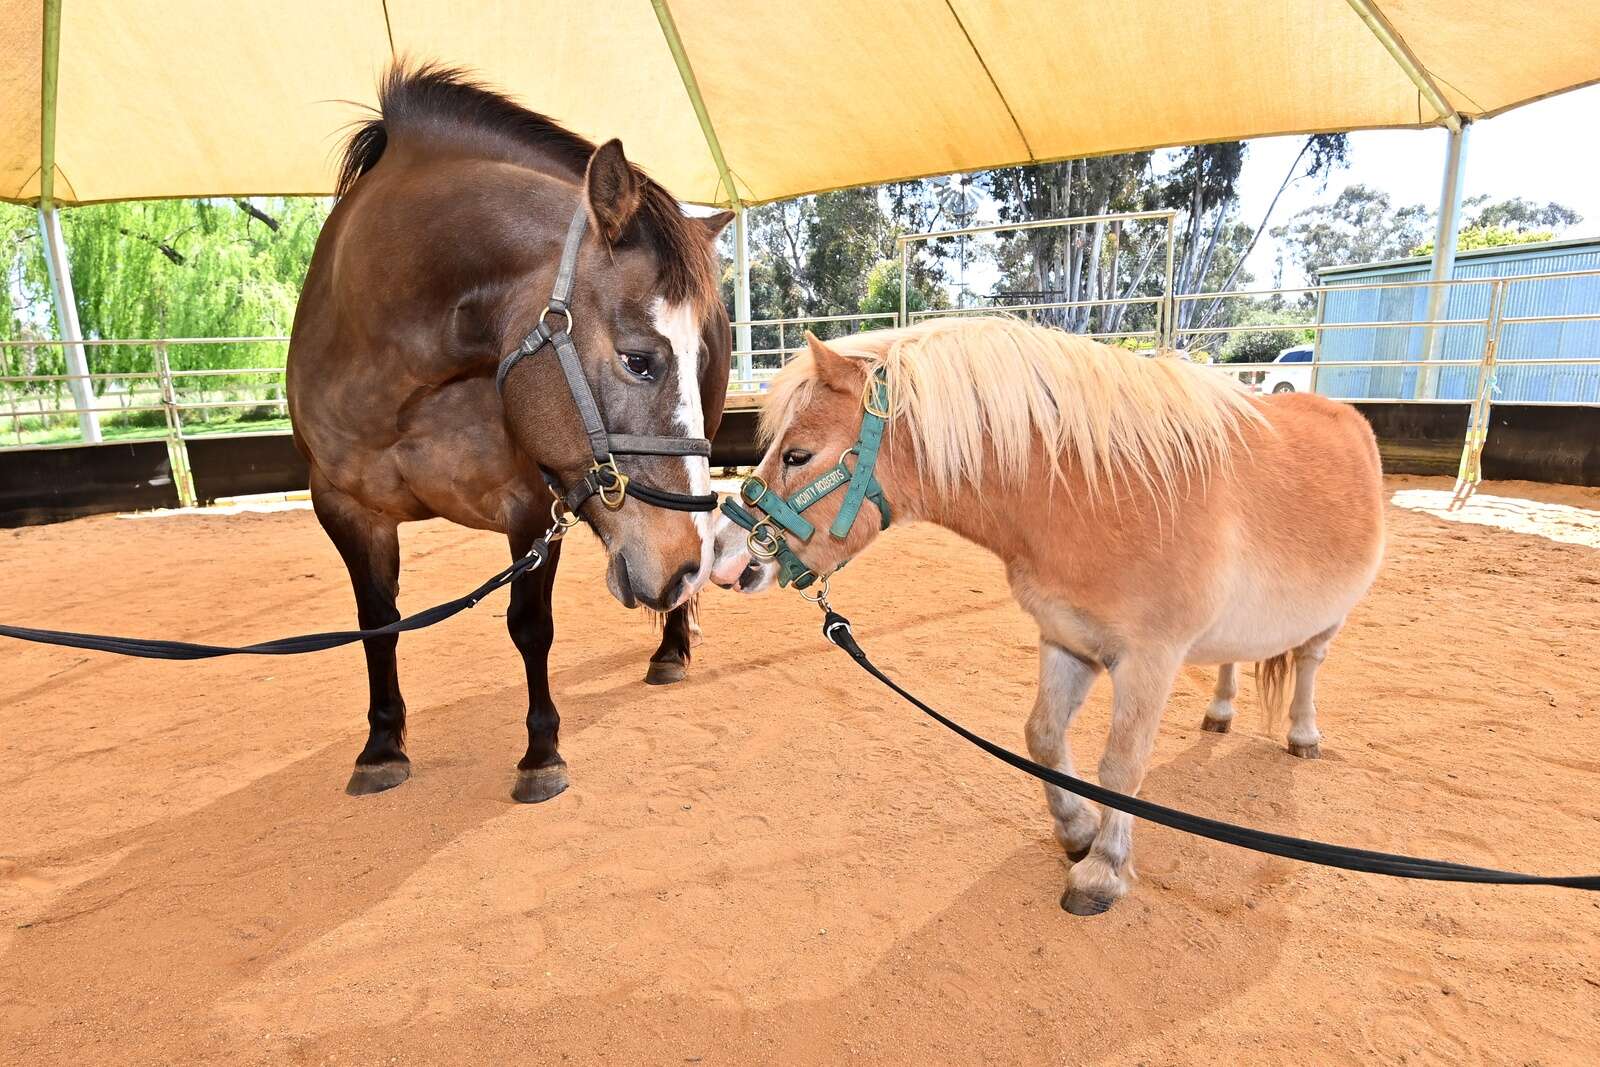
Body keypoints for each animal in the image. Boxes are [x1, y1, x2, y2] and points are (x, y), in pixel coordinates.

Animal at [287, 66, 732, 803]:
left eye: (689, 360)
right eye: (639, 359)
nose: (684, 565)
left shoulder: (532, 504)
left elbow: (529, 625)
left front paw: (541, 753)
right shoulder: (344, 509)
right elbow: (377, 626)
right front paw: (382, 746)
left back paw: (672, 646)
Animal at [711, 317, 1385, 914]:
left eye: (797, 455)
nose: (722, 557)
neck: (1101, 494)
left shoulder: (1149, 661)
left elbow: (1121, 764)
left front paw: (1104, 870)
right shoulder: (1066, 642)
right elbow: (1042, 736)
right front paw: (1077, 831)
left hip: (1332, 618)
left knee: (1308, 663)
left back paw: (1303, 736)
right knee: (1234, 662)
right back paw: (1219, 712)